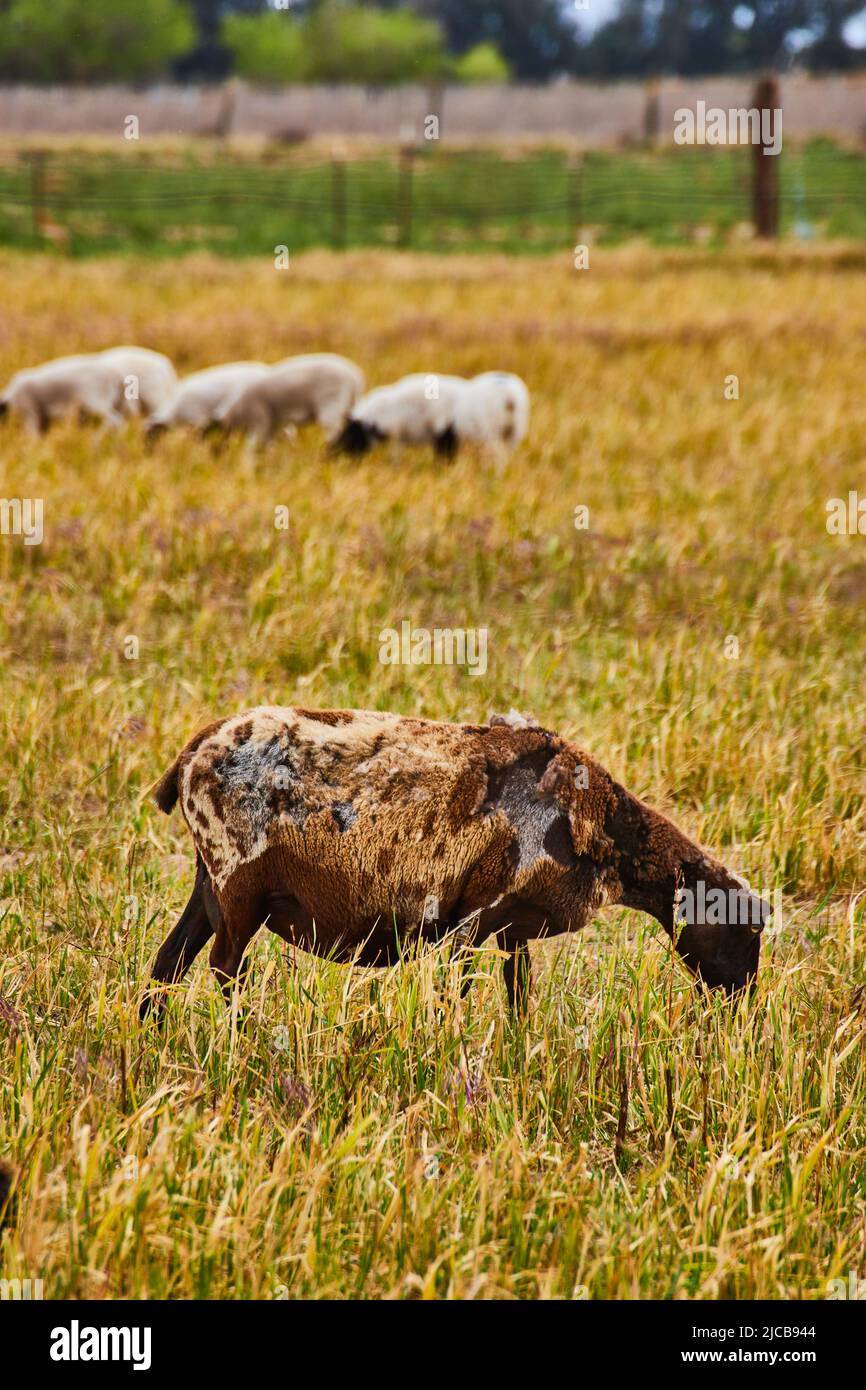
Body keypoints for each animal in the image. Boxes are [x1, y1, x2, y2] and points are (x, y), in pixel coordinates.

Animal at [141, 706, 770, 1022]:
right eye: (747, 928)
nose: (743, 1006)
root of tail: (191, 754)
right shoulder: (472, 916)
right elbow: (458, 992)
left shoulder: (515, 927)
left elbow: (518, 996)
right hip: (237, 884)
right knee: (224, 969)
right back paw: (244, 1034)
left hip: (209, 881)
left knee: (168, 964)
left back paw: (153, 1031)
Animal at [331, 371, 530, 462]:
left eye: (349, 432)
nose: (330, 455)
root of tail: (510, 397)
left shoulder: (444, 435)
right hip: (512, 433)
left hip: (490, 434)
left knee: (497, 459)